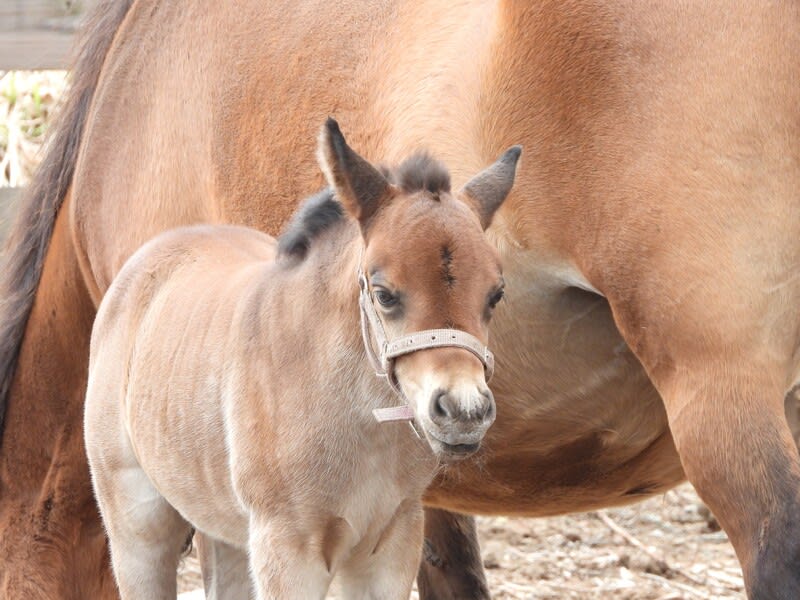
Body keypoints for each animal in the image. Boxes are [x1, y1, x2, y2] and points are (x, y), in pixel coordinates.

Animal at [83, 119, 519, 598]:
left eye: (495, 295)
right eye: (384, 294)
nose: (464, 411)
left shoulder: (391, 542)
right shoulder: (288, 549)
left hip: (226, 532)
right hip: (137, 524)